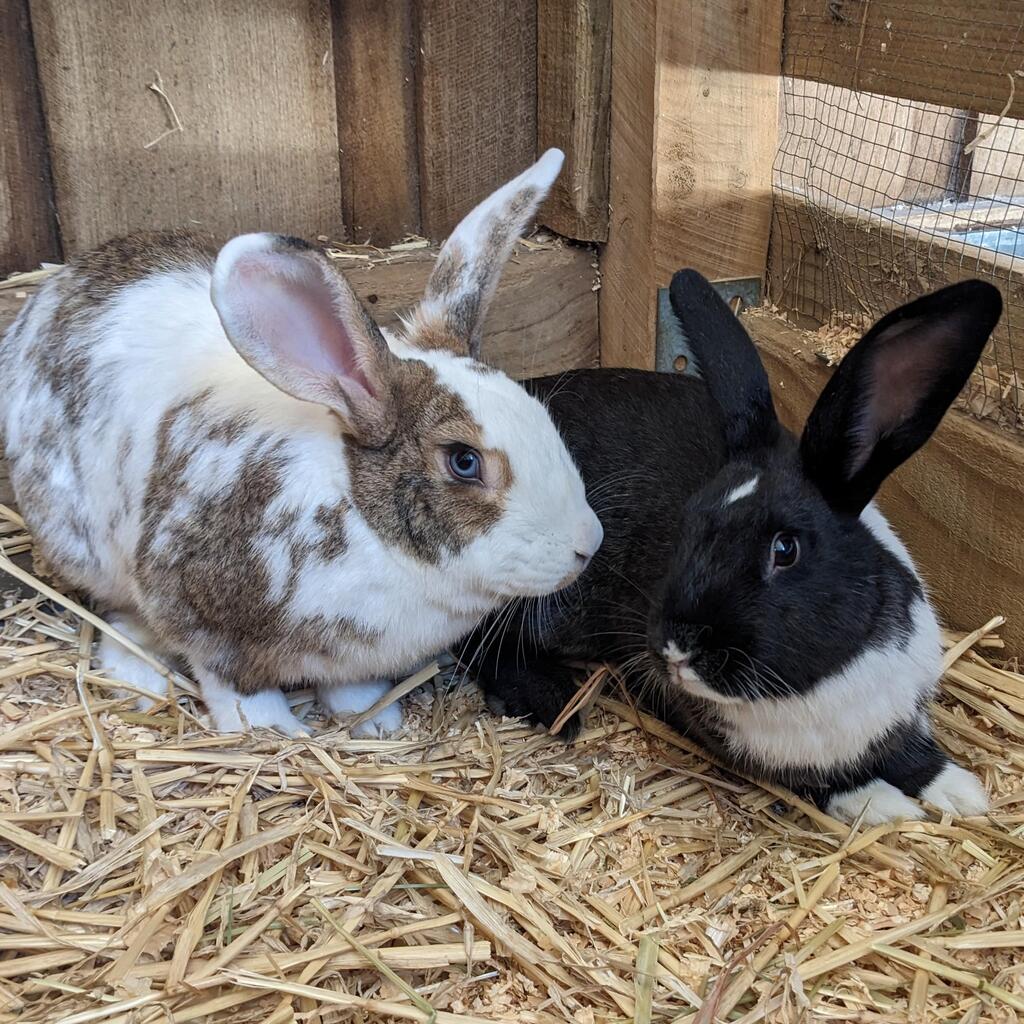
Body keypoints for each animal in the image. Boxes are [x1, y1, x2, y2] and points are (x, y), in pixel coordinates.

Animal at [0, 148, 603, 738]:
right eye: (464, 461)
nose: (588, 543)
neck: (365, 525)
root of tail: (52, 290)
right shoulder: (199, 614)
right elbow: (238, 690)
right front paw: (272, 734)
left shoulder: (353, 660)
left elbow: (352, 688)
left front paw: (376, 722)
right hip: (95, 555)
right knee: (121, 620)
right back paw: (143, 682)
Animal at [461, 269, 1001, 824]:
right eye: (687, 524)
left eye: (785, 549)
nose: (676, 649)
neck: (820, 683)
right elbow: (822, 782)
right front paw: (884, 805)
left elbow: (910, 752)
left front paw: (959, 790)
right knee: (480, 645)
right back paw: (553, 702)